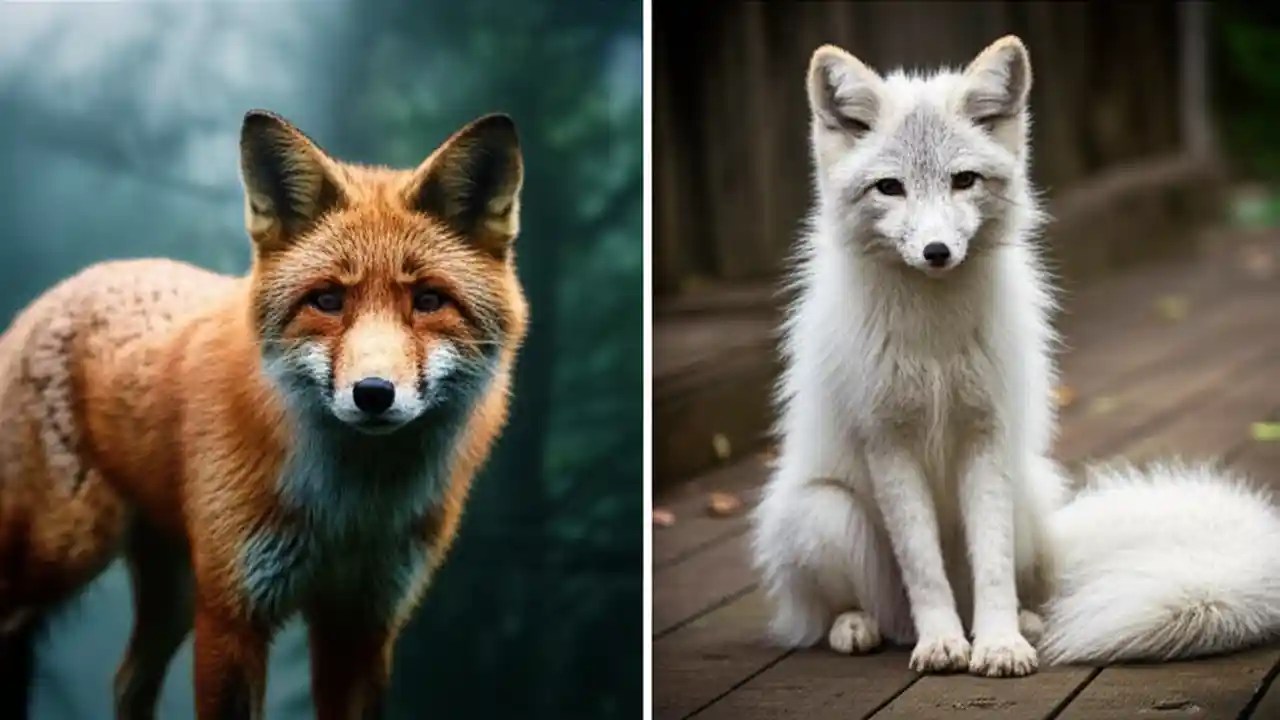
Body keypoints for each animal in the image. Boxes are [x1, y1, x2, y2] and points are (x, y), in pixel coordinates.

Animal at [0, 109, 528, 718]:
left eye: (428, 301)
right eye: (327, 301)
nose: (373, 393)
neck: (351, 510)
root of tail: (67, 286)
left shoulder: (363, 622)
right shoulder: (234, 612)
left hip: (175, 588)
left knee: (128, 679)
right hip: (65, 552)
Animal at [751, 35, 1280, 678]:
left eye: (964, 180)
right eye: (890, 188)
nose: (936, 251)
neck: (934, 343)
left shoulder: (987, 436)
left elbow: (994, 569)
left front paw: (1000, 644)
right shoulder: (889, 444)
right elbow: (924, 570)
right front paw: (943, 644)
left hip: (1022, 496)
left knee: (1016, 586)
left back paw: (1021, 622)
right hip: (823, 513)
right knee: (863, 613)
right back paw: (861, 627)